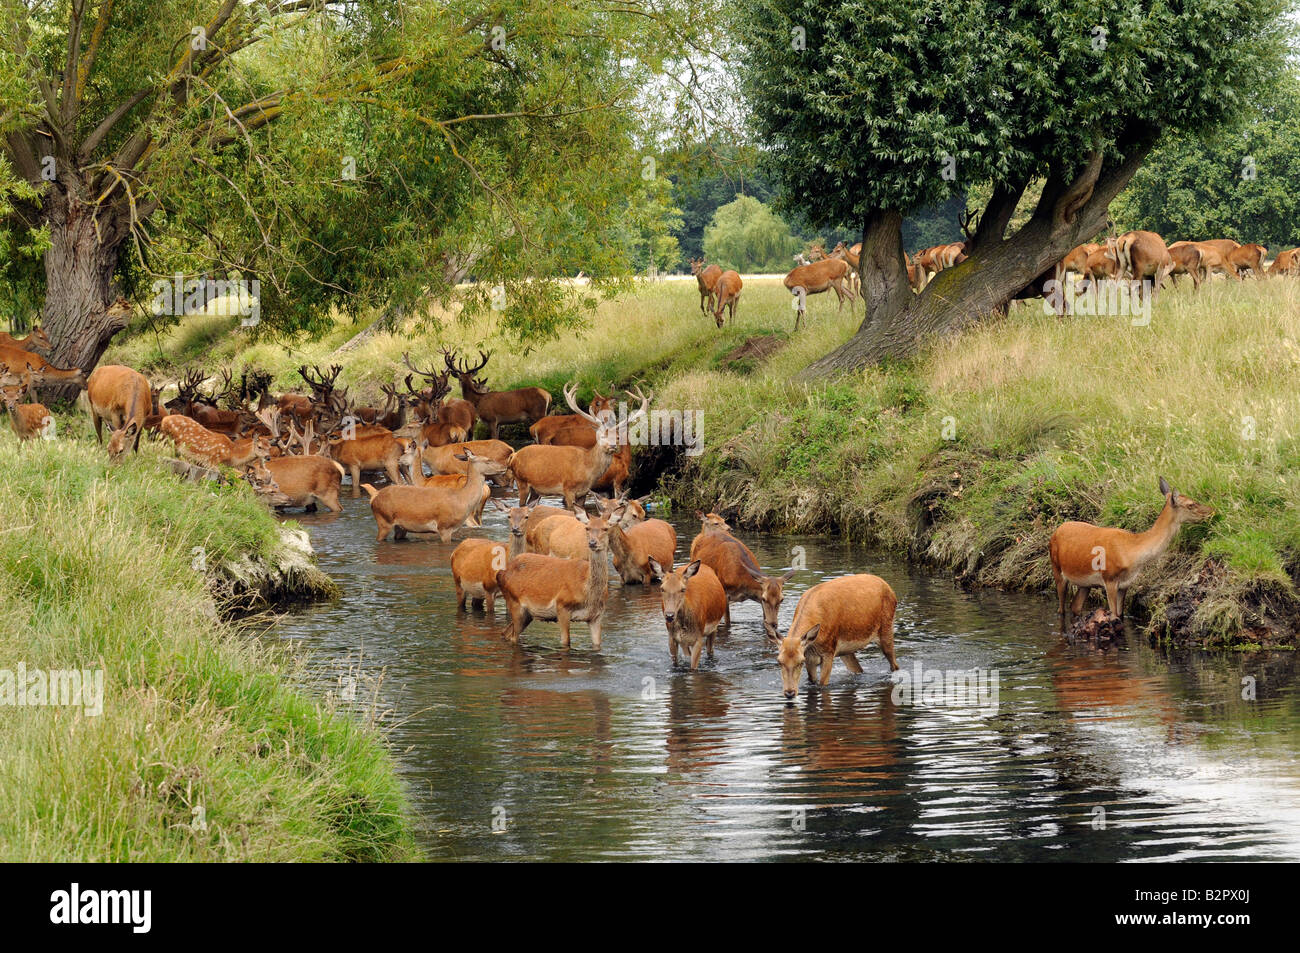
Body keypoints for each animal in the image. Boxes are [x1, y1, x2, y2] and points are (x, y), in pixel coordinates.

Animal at [363, 450, 506, 542]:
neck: (462, 499)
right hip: (383, 520)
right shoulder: (444, 527)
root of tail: (374, 495)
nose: (504, 467)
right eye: (488, 460)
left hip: (400, 527)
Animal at [496, 509, 612, 650]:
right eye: (587, 527)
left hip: (528, 614)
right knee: (513, 637)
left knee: (505, 632)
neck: (588, 592)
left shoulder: (596, 616)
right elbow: (566, 642)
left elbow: (597, 644)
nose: (593, 543)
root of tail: (500, 573)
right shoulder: (562, 606)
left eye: (606, 528)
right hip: (514, 602)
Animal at [771, 575, 899, 698]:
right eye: (779, 661)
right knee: (858, 669)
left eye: (800, 662)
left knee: (894, 665)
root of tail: (891, 590)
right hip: (846, 652)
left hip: (887, 628)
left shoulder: (828, 651)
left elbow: (823, 685)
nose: (789, 693)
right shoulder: (810, 656)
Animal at [1050, 476, 1214, 620]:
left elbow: (1120, 615)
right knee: (1061, 608)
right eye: (1191, 504)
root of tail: (1056, 531)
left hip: (1085, 583)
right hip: (1056, 568)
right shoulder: (1109, 578)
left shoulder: (1125, 584)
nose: (1212, 511)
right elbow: (1113, 614)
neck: (1132, 553)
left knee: (1075, 606)